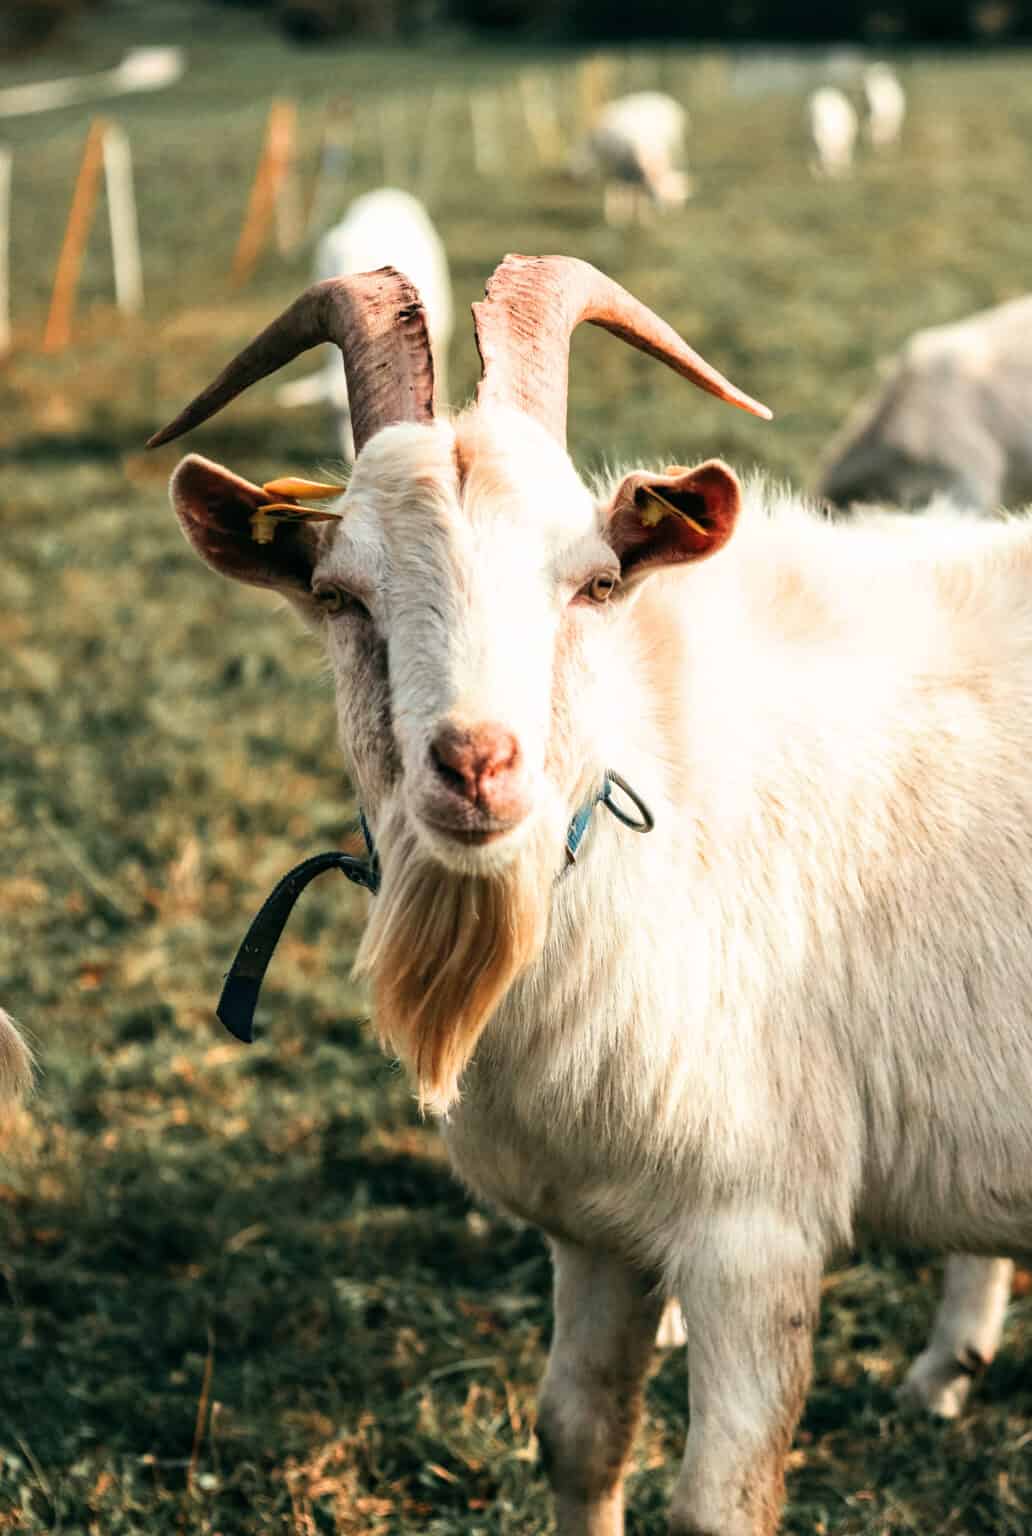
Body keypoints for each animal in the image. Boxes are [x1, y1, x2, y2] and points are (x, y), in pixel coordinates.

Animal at [573, 92, 690, 225]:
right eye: (663, 194)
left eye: (678, 199)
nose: (667, 212)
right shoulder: (620, 168)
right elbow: (618, 190)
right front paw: (617, 216)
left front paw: (642, 216)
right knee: (614, 186)